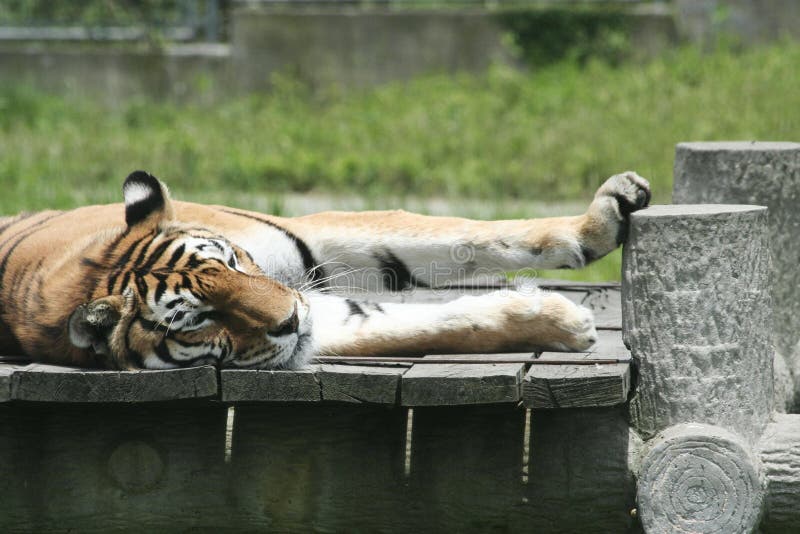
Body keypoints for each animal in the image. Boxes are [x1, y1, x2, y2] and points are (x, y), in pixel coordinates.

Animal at [0, 170, 650, 370]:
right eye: (196, 320)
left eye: (232, 263)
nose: (291, 318)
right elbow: (419, 324)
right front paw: (560, 321)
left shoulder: (307, 242)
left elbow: (465, 233)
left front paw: (603, 219)